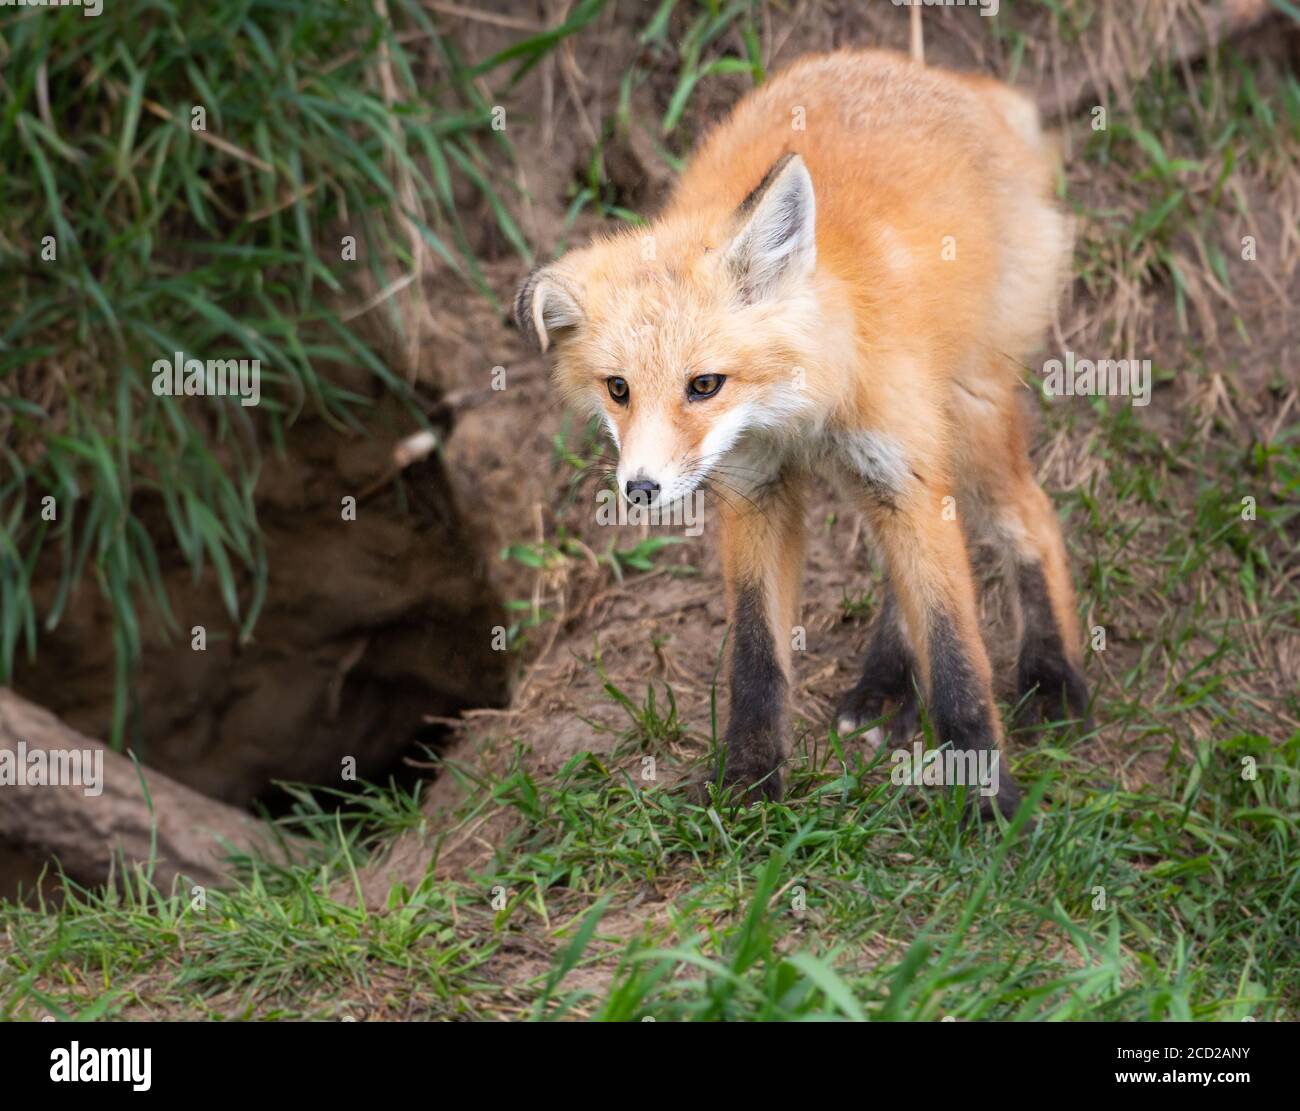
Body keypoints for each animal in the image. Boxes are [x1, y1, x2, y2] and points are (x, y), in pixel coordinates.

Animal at [514, 49, 1091, 817]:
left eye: (705, 385)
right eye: (618, 390)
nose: (639, 490)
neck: (798, 417)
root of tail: (952, 79)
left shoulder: (903, 468)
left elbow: (956, 651)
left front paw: (988, 797)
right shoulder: (757, 492)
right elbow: (757, 657)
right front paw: (749, 782)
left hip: (968, 421)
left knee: (1031, 520)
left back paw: (1052, 672)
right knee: (903, 570)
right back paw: (888, 683)